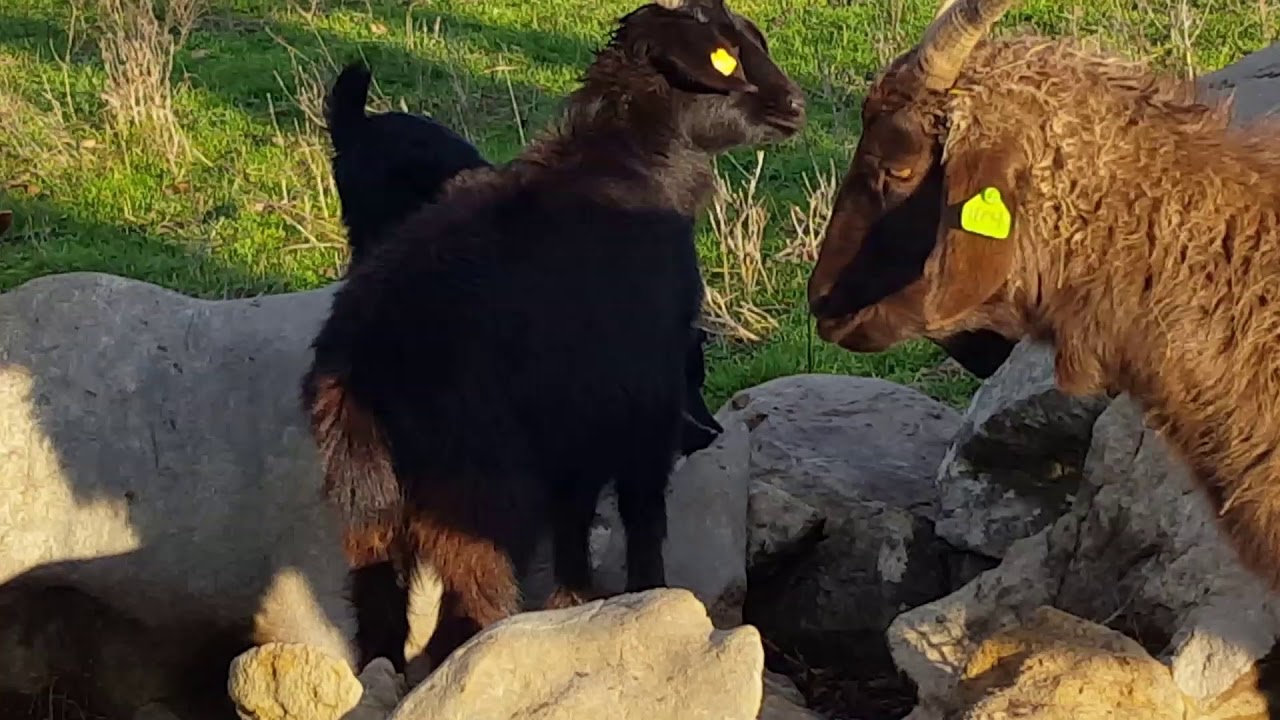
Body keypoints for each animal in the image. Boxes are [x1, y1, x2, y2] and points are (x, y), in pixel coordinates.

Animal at [303, 0, 805, 668]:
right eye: (725, 59)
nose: (796, 104)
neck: (637, 161)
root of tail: (367, 362)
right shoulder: (645, 393)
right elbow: (643, 507)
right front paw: (650, 598)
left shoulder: (579, 415)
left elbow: (576, 514)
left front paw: (576, 606)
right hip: (479, 494)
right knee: (464, 615)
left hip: (368, 504)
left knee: (379, 611)